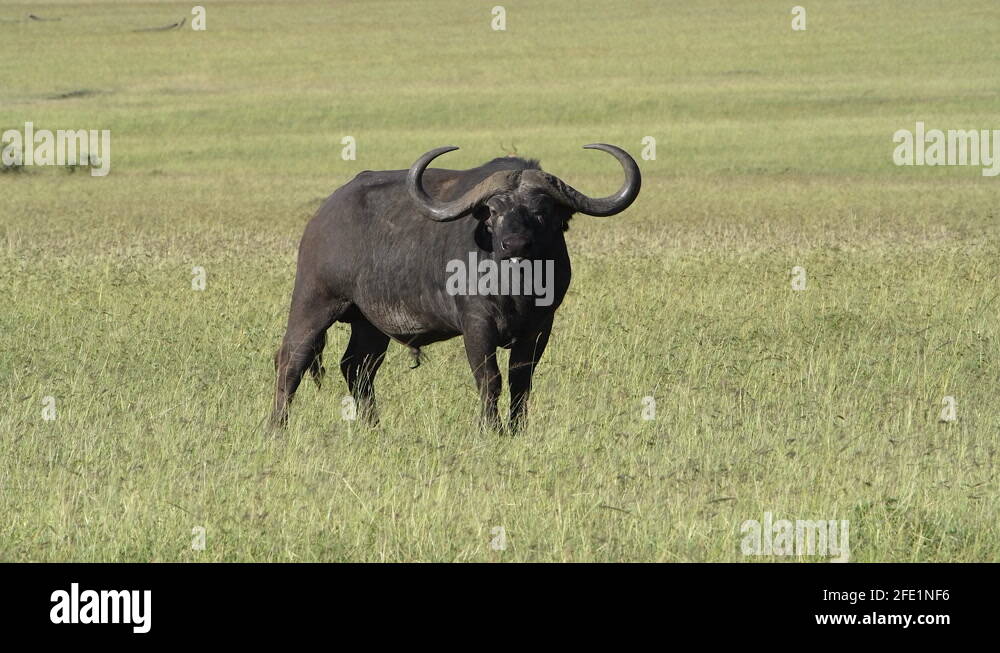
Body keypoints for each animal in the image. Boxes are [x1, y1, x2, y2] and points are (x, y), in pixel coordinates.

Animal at [271, 144, 641, 433]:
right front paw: (490, 429)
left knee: (357, 368)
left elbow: (521, 380)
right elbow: (490, 378)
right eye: (493, 210)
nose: (514, 244)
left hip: (369, 322)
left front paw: (517, 430)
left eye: (542, 210)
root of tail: (323, 214)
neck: (516, 285)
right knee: (291, 360)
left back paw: (374, 428)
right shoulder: (476, 324)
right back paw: (277, 429)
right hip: (314, 301)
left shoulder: (540, 325)